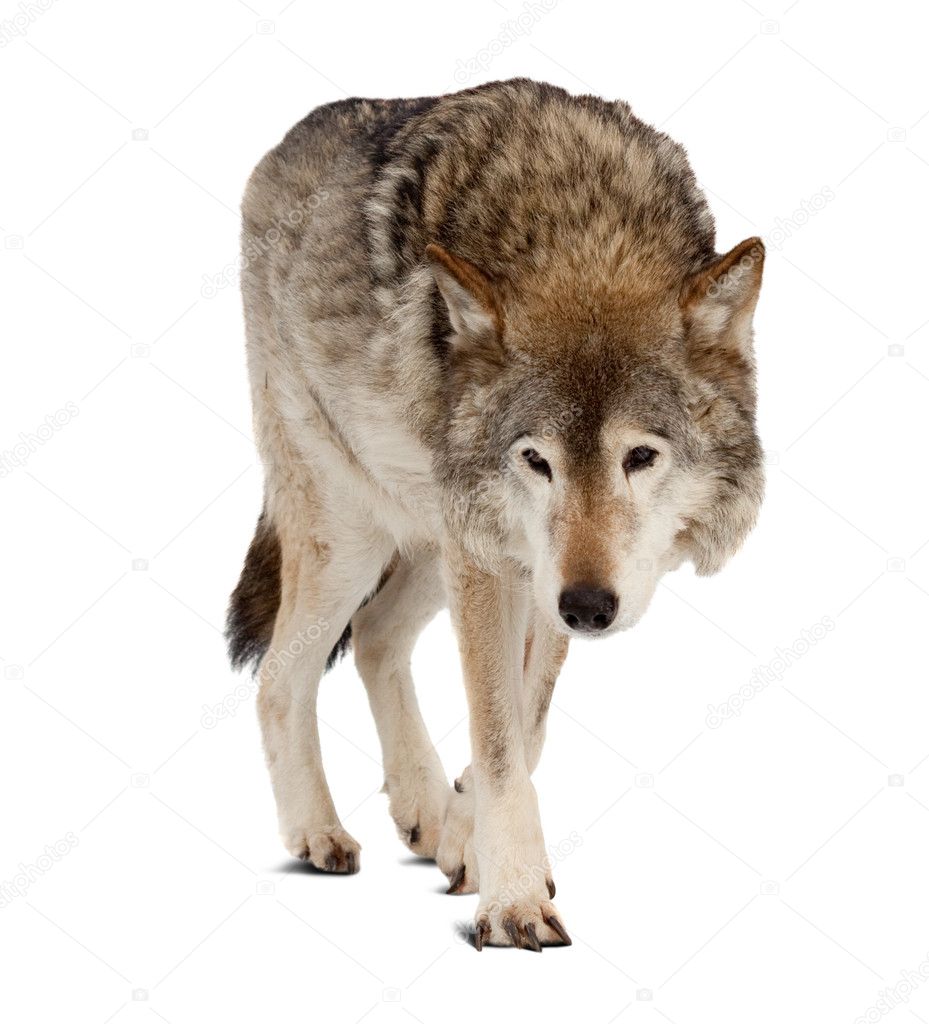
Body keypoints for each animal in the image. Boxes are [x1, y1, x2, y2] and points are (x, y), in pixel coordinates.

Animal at [226, 78, 764, 950]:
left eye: (639, 457)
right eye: (536, 461)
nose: (589, 608)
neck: (582, 230)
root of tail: (286, 143)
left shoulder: (534, 573)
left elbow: (525, 724)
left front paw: (465, 841)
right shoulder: (505, 563)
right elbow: (500, 732)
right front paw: (511, 899)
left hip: (432, 538)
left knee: (375, 637)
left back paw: (422, 810)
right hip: (356, 531)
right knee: (280, 672)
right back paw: (317, 832)